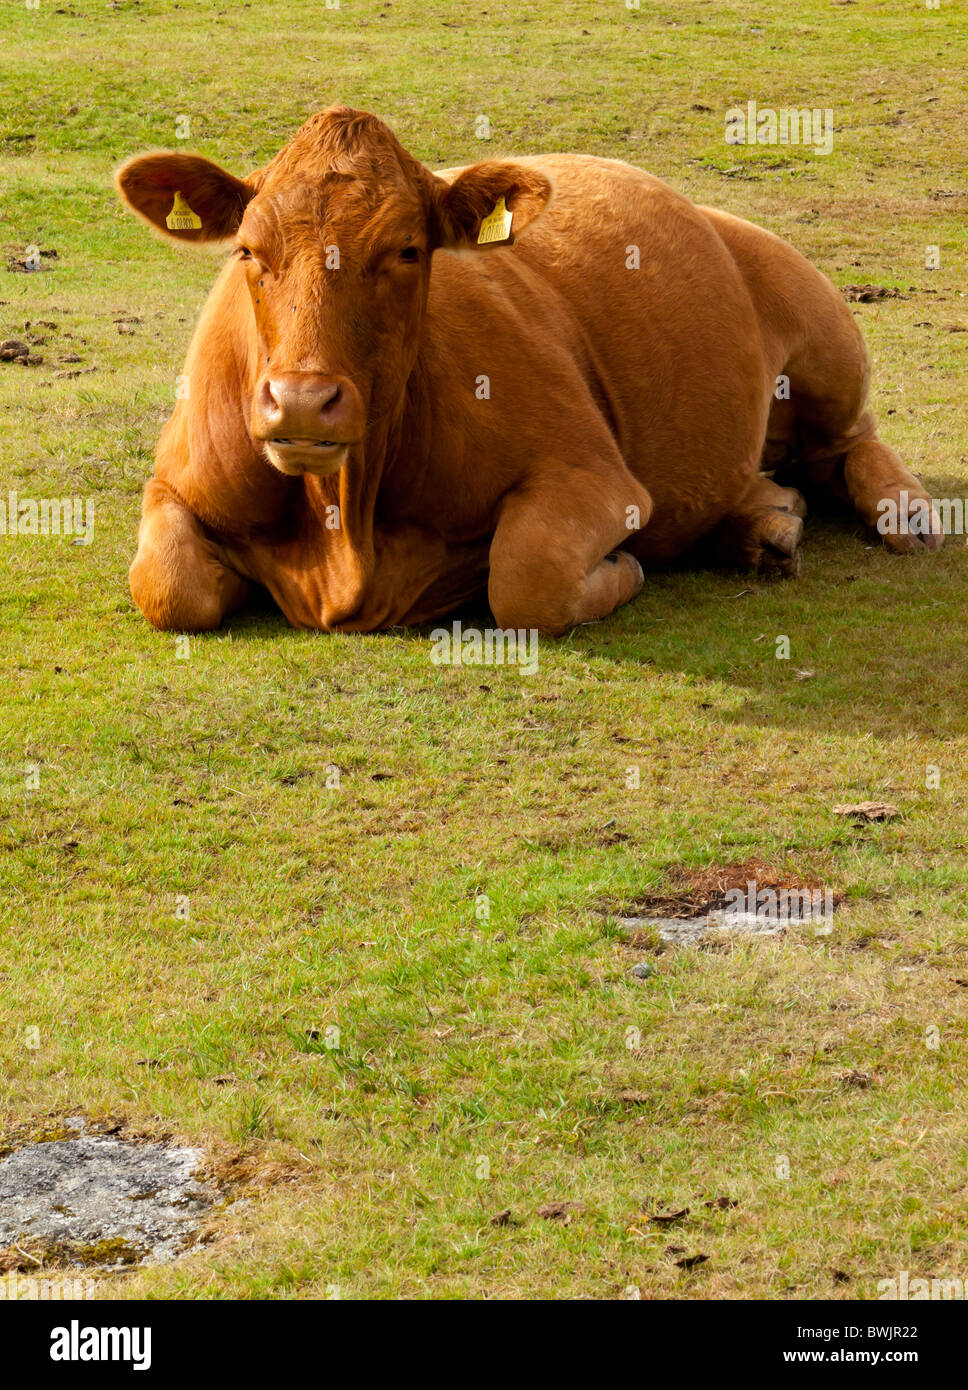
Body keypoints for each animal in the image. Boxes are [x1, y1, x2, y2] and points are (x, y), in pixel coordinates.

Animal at [115, 105, 941, 636]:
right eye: (248, 250)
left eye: (407, 250)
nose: (299, 402)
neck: (343, 532)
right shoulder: (174, 480)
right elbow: (165, 585)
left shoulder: (595, 475)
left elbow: (525, 577)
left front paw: (625, 570)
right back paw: (761, 525)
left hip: (820, 329)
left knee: (849, 442)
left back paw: (906, 516)